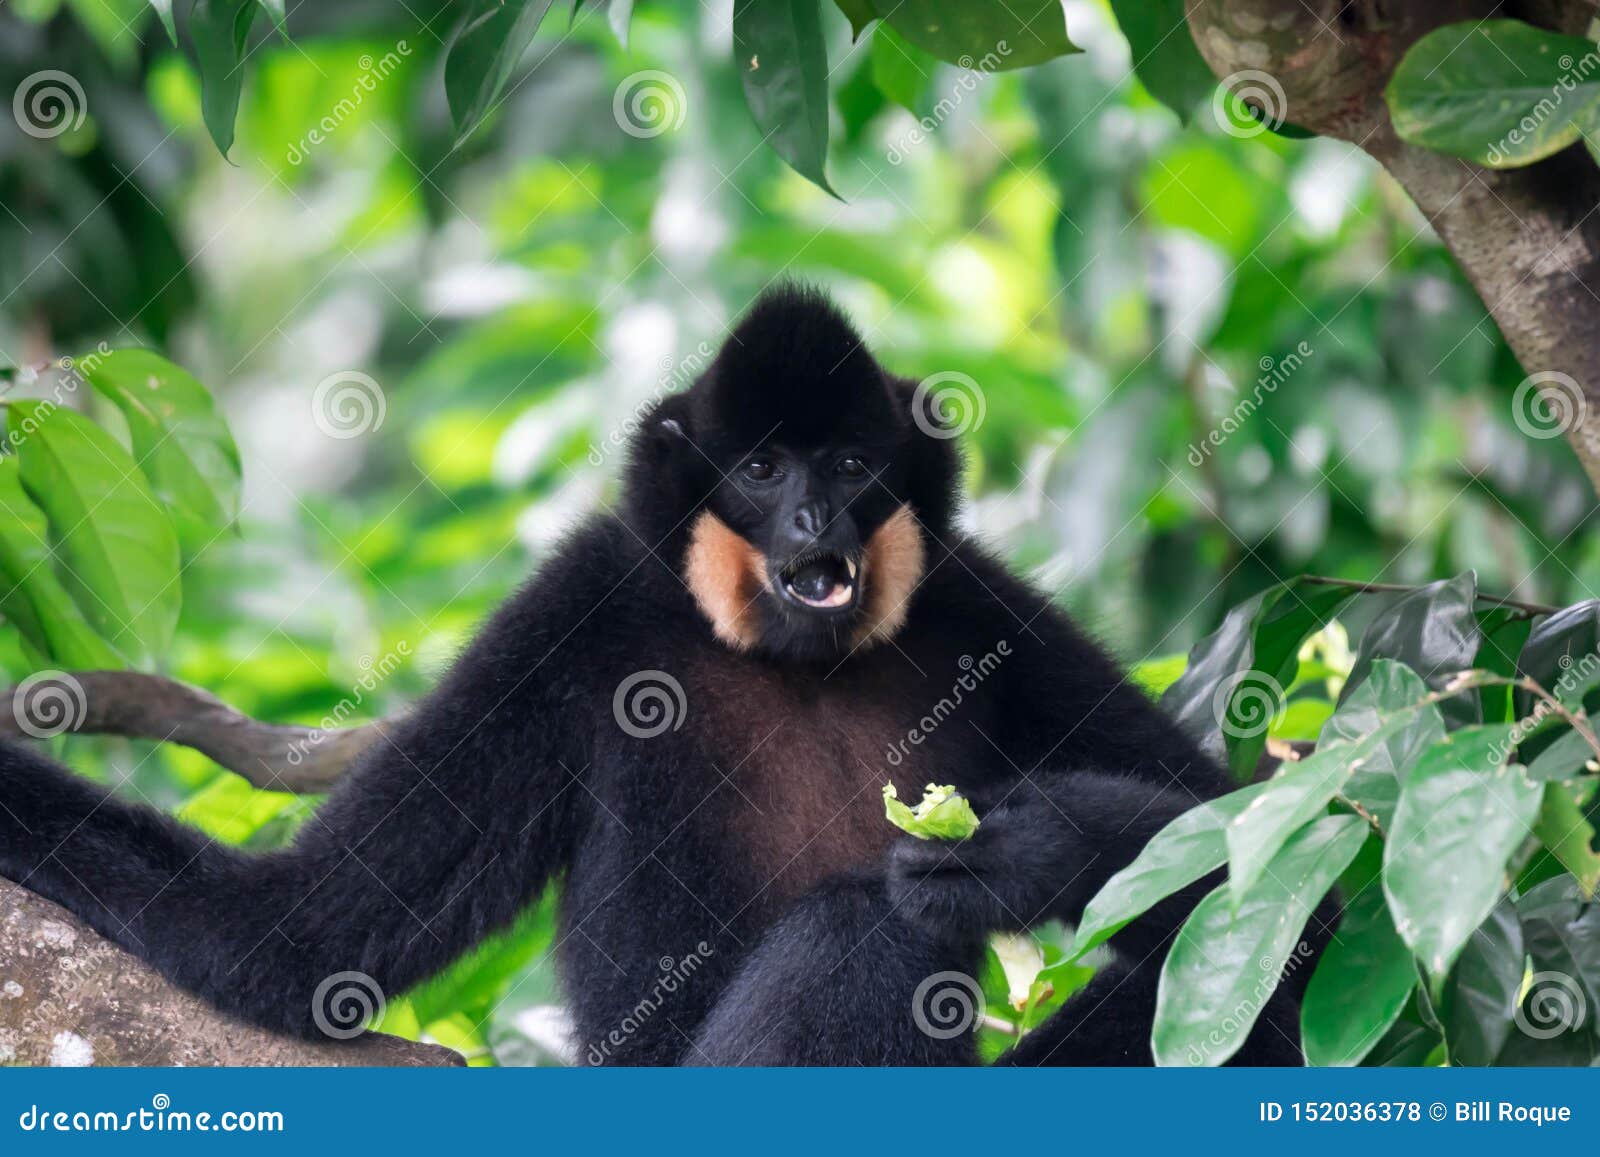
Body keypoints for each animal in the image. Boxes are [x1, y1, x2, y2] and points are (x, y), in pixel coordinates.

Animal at [0, 286, 1313, 1065]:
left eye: (848, 462)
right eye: (766, 467)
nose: (813, 518)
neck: (794, 664)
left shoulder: (978, 603)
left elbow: (1268, 852)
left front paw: (1027, 845)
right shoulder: (579, 606)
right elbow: (297, 935)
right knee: (862, 924)